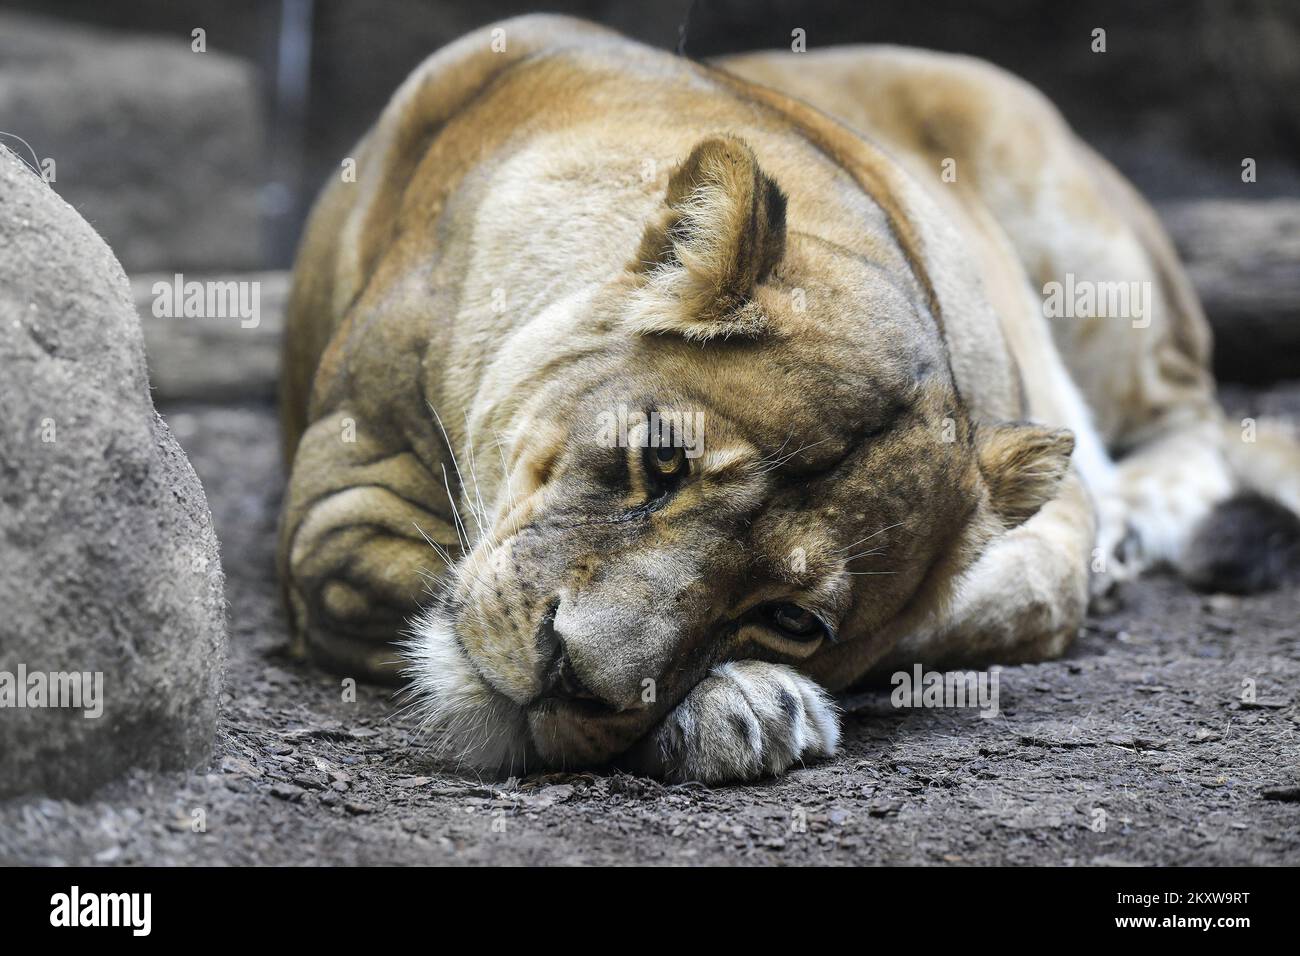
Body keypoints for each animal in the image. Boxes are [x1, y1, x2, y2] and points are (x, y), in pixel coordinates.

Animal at [277, 15, 1300, 783]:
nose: (566, 677)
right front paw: (745, 703)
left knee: (1196, 417)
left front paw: (743, 696)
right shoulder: (331, 519)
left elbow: (1027, 596)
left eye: (793, 620)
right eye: (662, 457)